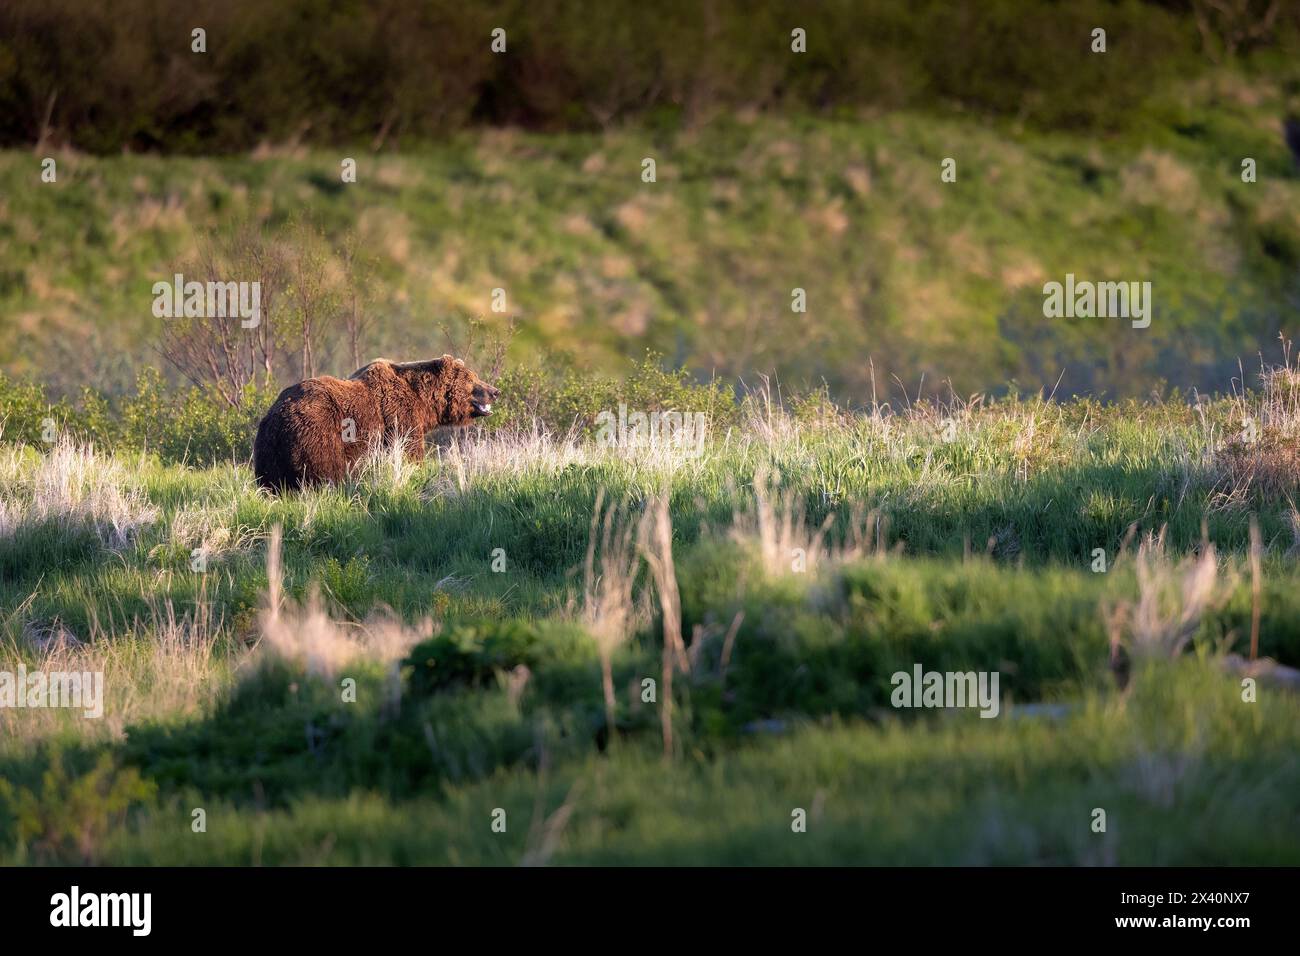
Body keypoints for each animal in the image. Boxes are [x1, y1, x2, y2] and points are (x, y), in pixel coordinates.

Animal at [252, 355, 500, 491]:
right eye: (472, 379)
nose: (495, 391)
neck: (423, 401)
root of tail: (275, 418)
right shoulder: (400, 417)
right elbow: (409, 451)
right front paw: (416, 471)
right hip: (317, 433)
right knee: (324, 472)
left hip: (268, 454)